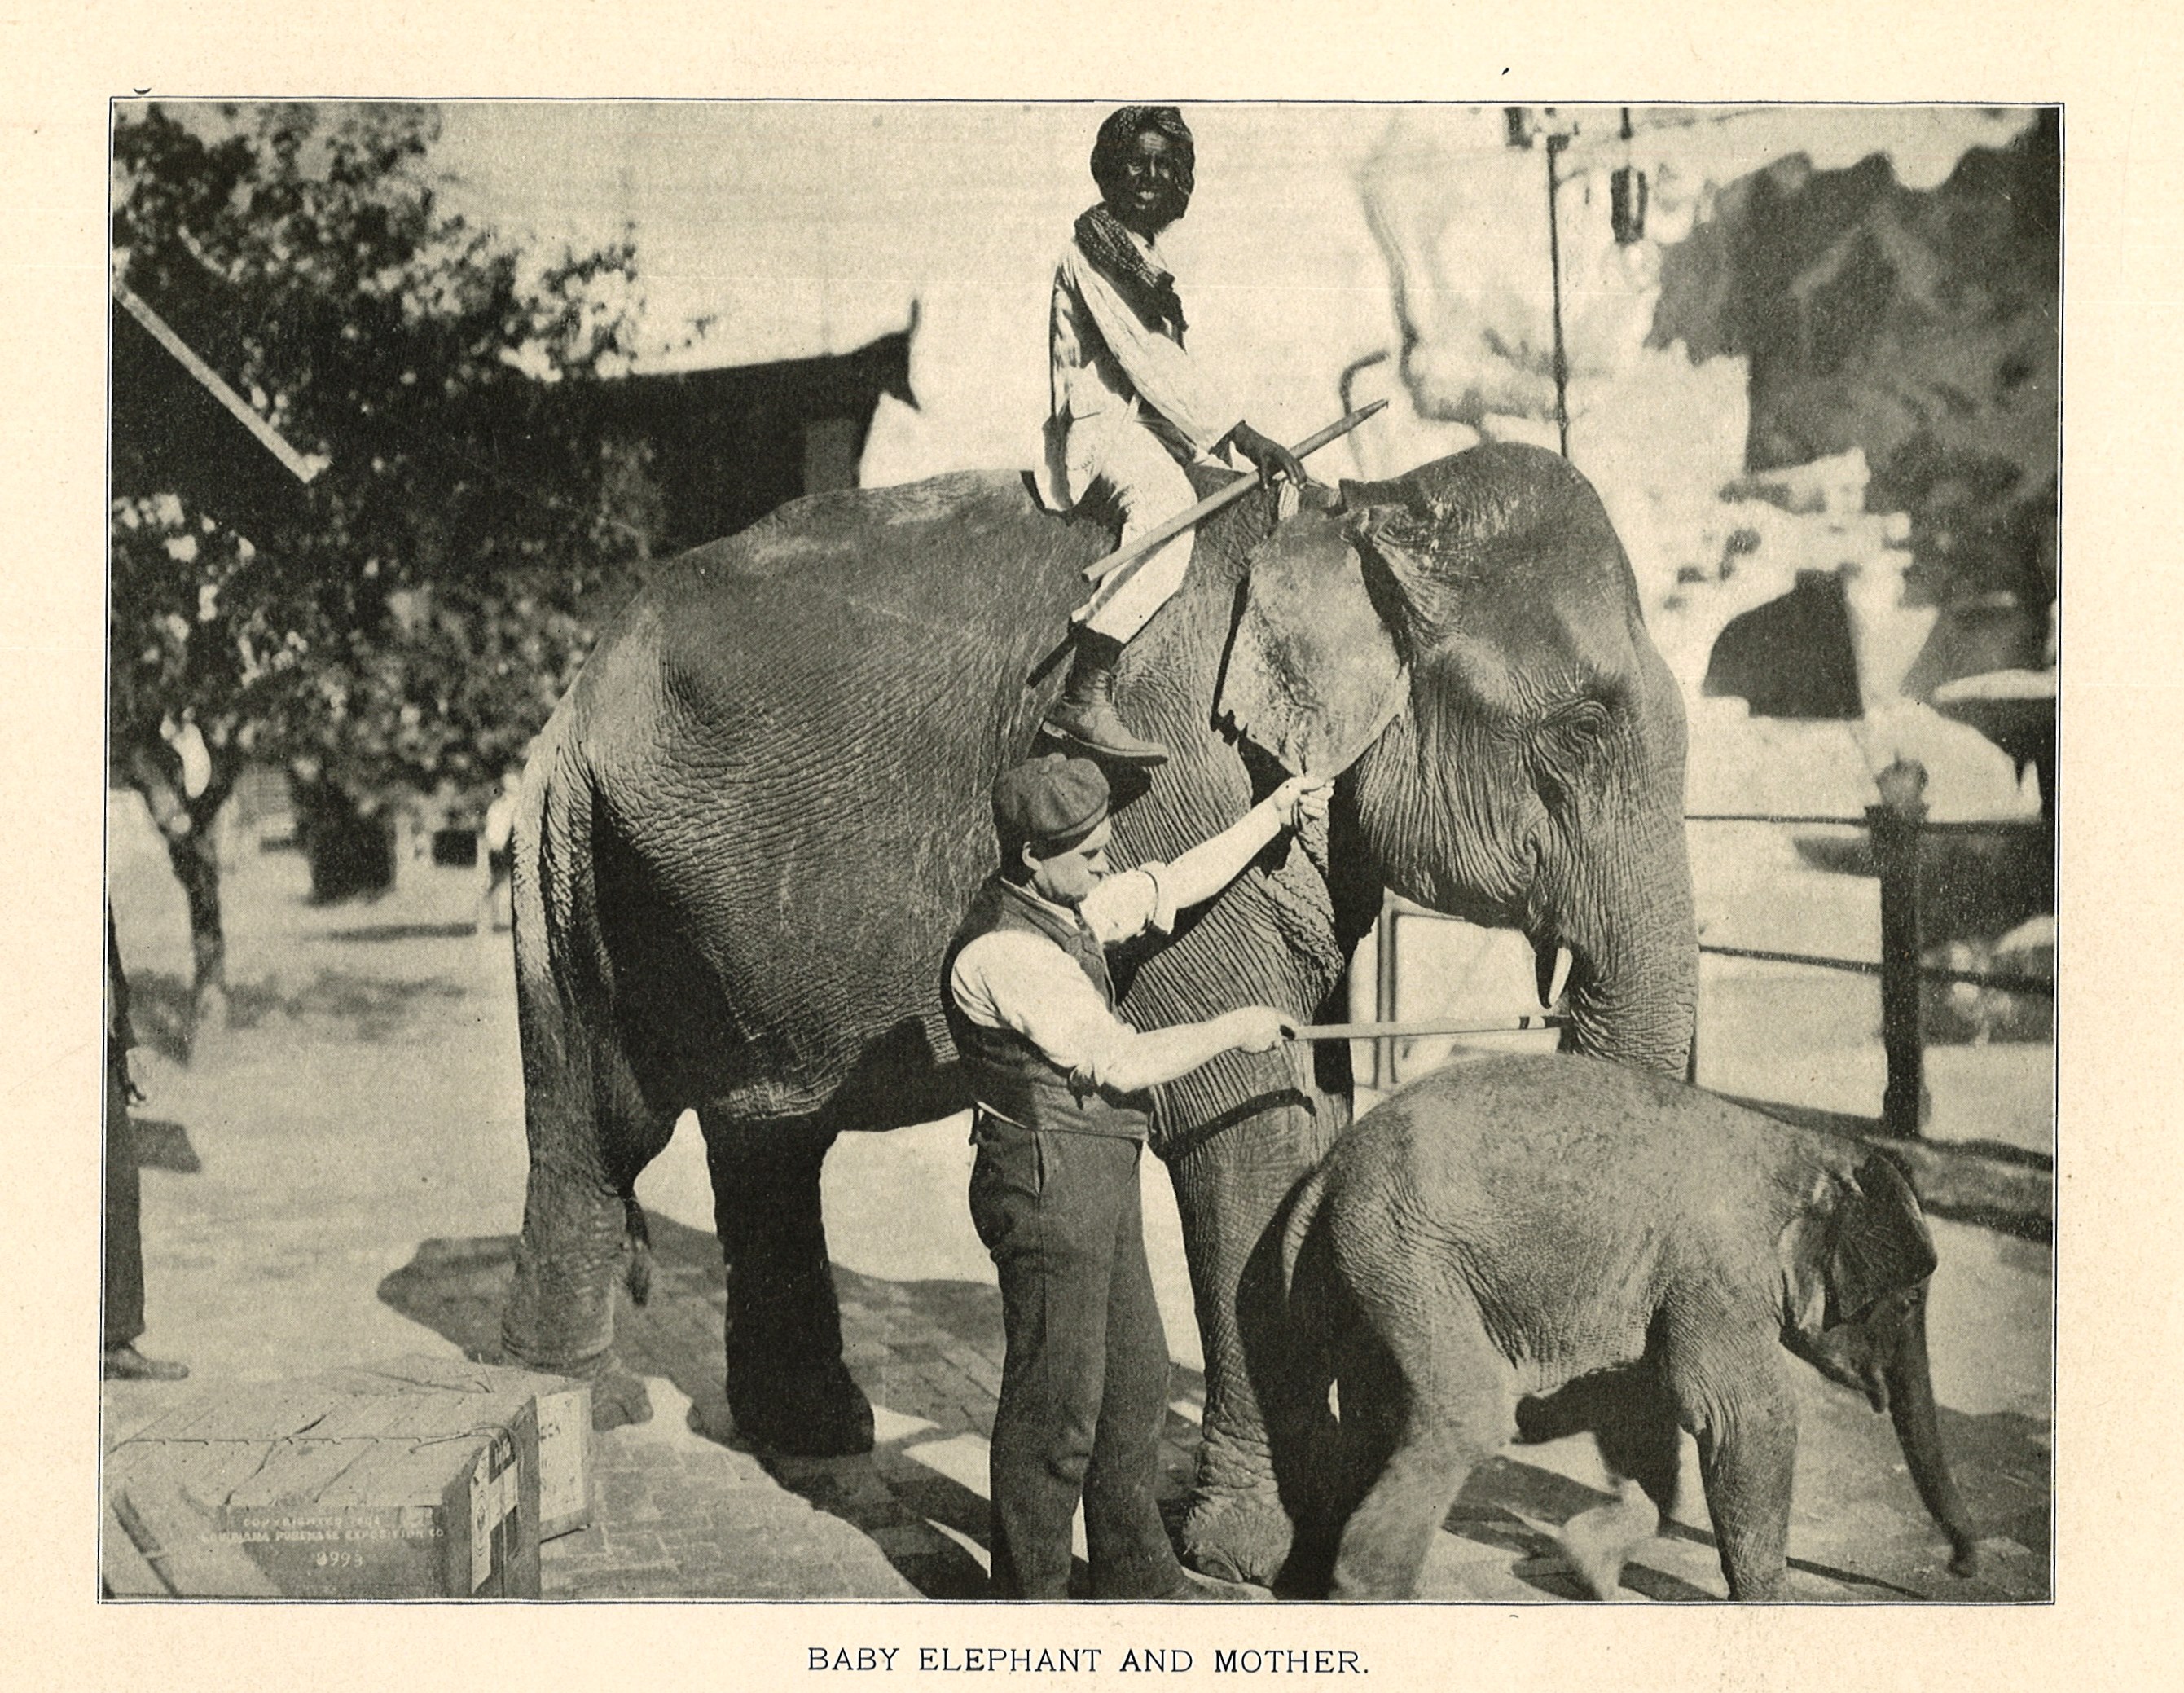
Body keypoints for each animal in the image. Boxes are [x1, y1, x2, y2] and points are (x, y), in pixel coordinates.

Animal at [495, 439, 1698, 1587]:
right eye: (1577, 732)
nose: (1584, 1546)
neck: (1353, 507)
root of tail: (585, 672)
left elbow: (1314, 1111)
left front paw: (1312, 1519)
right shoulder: (1180, 785)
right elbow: (1243, 1129)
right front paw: (1254, 1556)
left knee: (768, 1131)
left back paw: (815, 1432)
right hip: (577, 857)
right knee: (599, 1120)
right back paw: (573, 1430)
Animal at [1266, 1051, 1982, 1600]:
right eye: (1909, 1301)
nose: (1960, 1567)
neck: (1800, 1147)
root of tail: (1328, 1169)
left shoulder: (1666, 1283)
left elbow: (1645, 1410)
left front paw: (1589, 1567)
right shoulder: (1717, 1272)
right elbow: (1742, 1417)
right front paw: (1776, 1602)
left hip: (1360, 1271)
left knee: (1373, 1412)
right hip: (1407, 1257)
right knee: (1466, 1412)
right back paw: (1367, 1589)